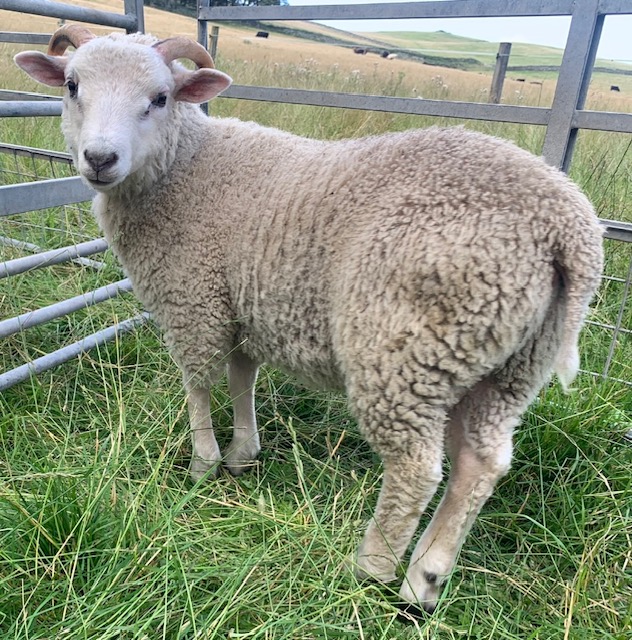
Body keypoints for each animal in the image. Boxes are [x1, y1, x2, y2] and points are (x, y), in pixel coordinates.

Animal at [14, 26, 604, 613]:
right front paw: (242, 454)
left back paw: (372, 569)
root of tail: (565, 227)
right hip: (507, 364)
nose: (99, 157)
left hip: (403, 348)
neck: (184, 167)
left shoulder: (193, 299)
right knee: (479, 466)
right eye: (71, 86)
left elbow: (199, 384)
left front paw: (203, 464)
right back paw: (426, 581)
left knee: (416, 469)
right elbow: (242, 378)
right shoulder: (243, 306)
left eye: (160, 98)